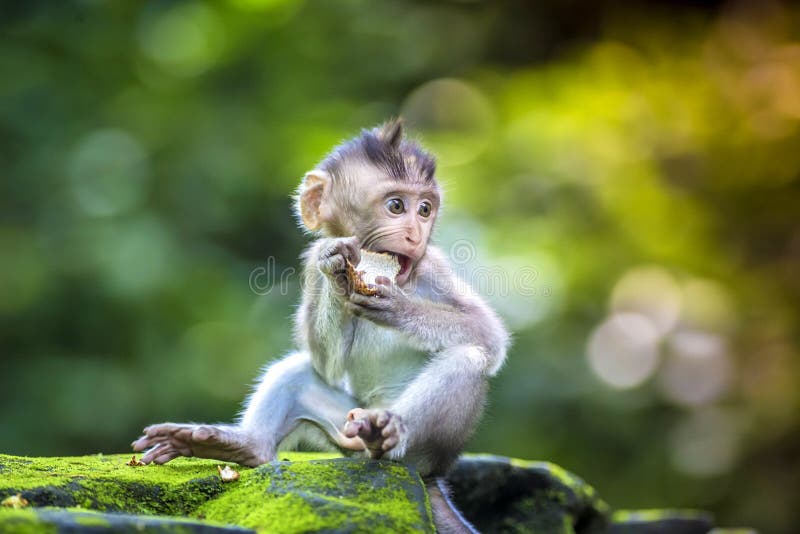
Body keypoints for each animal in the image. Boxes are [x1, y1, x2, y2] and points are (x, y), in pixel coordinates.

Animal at [132, 119, 510, 533]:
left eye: (425, 209)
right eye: (396, 206)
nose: (415, 233)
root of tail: (430, 478)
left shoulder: (432, 267)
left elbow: (488, 336)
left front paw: (395, 307)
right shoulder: (311, 261)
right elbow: (325, 364)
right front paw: (337, 271)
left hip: (424, 450)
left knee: (467, 359)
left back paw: (389, 427)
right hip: (344, 431)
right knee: (297, 371)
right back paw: (242, 445)